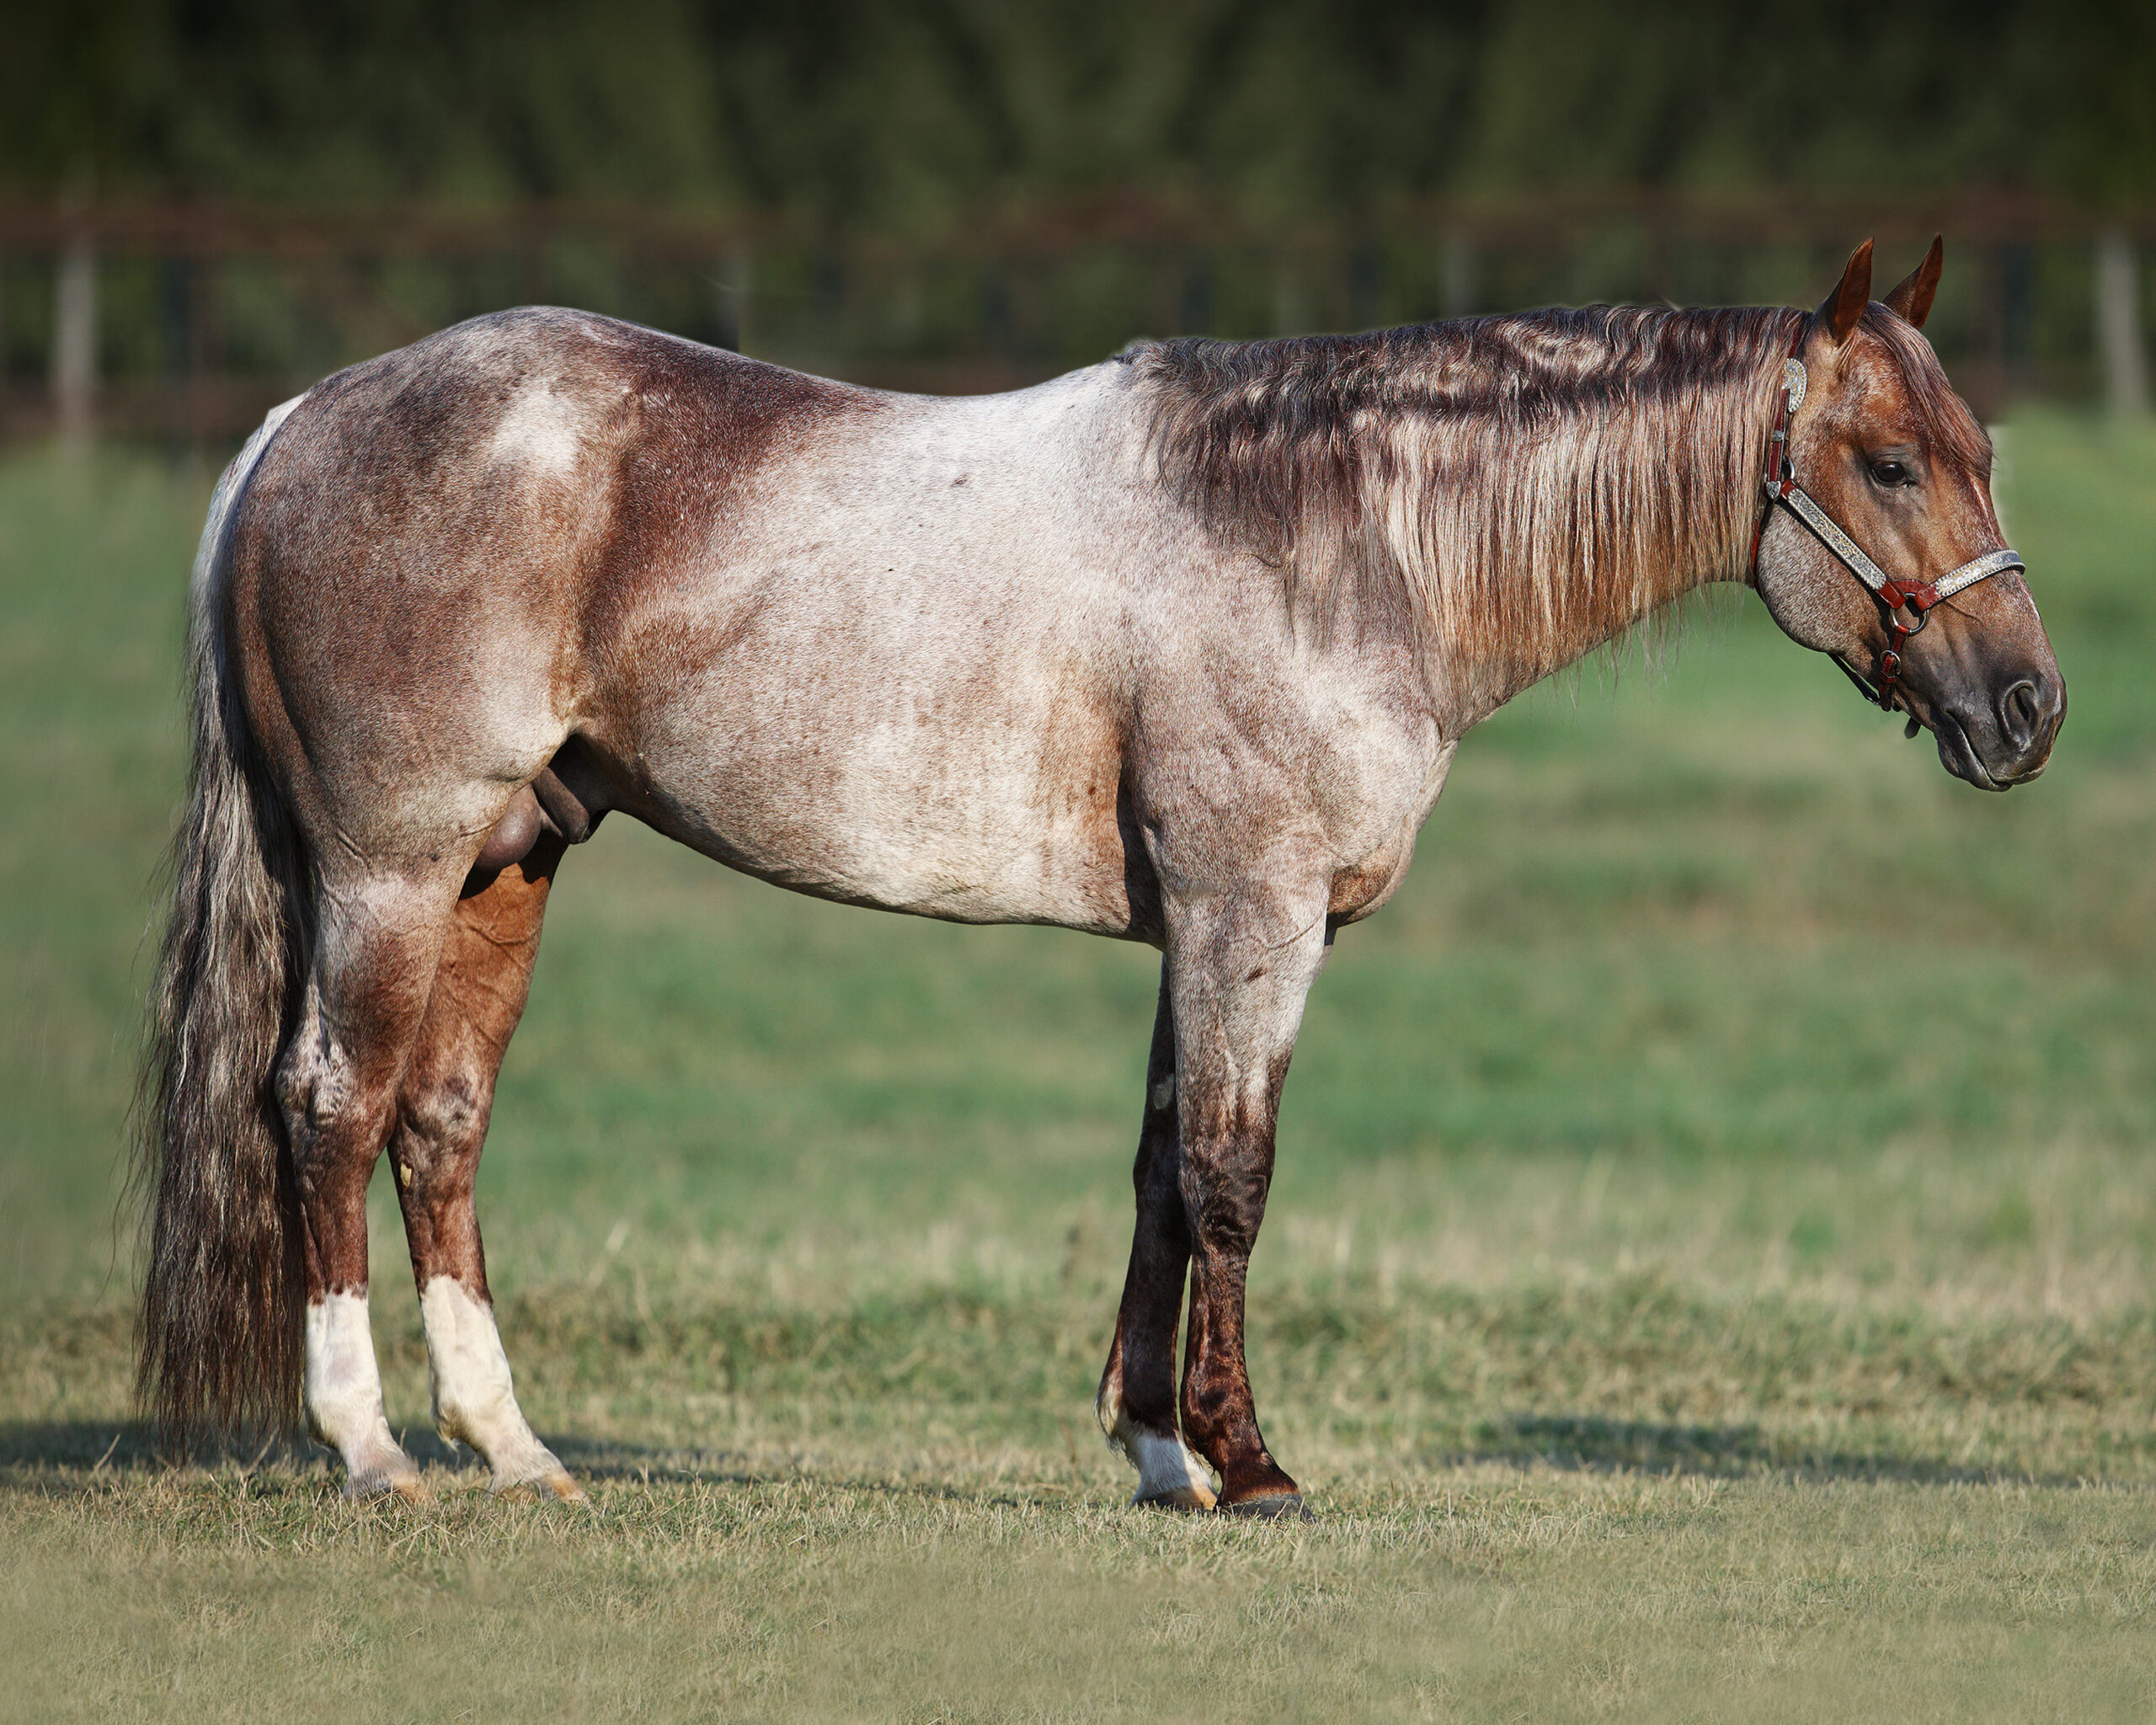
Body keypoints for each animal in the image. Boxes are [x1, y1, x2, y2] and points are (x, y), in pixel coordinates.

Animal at [137, 238, 2062, 1515]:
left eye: (1980, 453)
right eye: (1890, 460)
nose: (2026, 709)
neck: (1336, 536)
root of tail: (300, 421)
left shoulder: (1198, 930)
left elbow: (1155, 1170)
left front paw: (1152, 1448)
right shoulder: (1253, 917)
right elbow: (1229, 1179)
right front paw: (1251, 1463)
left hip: (508, 863)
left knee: (438, 1120)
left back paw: (517, 1447)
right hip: (391, 866)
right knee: (325, 1103)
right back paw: (371, 1446)